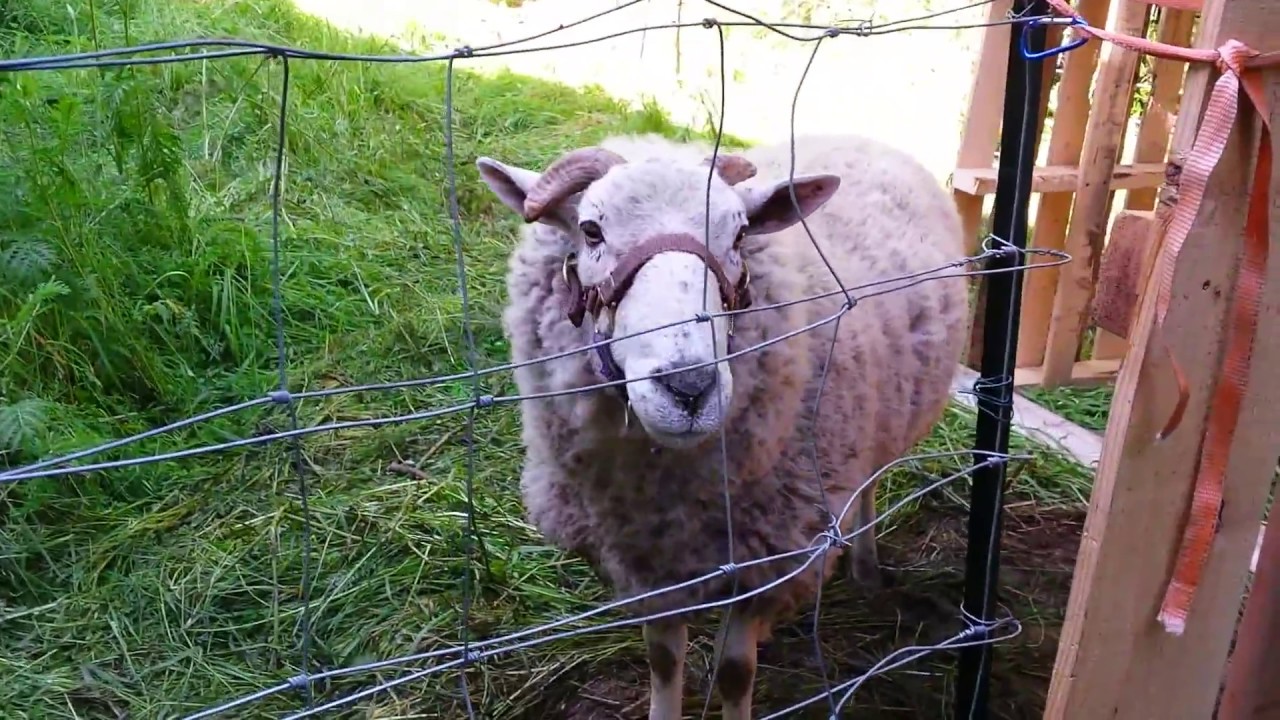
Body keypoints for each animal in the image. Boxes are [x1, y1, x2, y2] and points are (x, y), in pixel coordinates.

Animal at [474, 131, 968, 719]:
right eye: (591, 231)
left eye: (738, 234)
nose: (689, 388)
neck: (665, 500)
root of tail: (854, 135)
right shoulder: (650, 566)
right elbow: (663, 661)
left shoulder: (768, 561)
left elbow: (734, 673)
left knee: (869, 487)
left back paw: (867, 568)